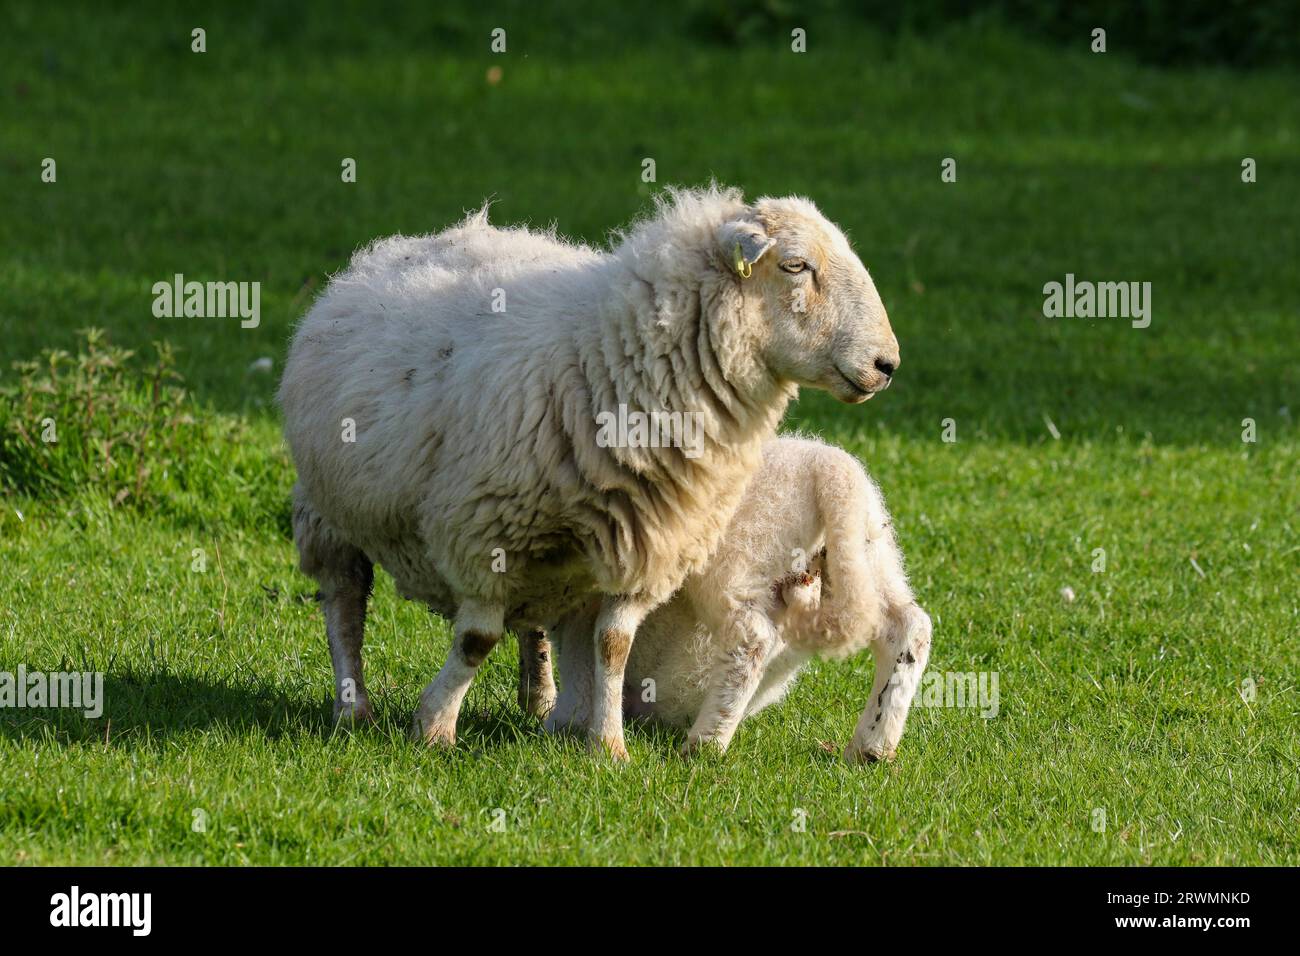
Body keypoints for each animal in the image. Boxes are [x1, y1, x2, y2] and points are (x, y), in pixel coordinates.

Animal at [545, 435, 932, 763]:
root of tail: (828, 467)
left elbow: (591, 649)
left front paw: (570, 727)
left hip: (736, 562)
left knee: (751, 637)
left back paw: (705, 744)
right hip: (870, 557)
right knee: (910, 627)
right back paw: (871, 747)